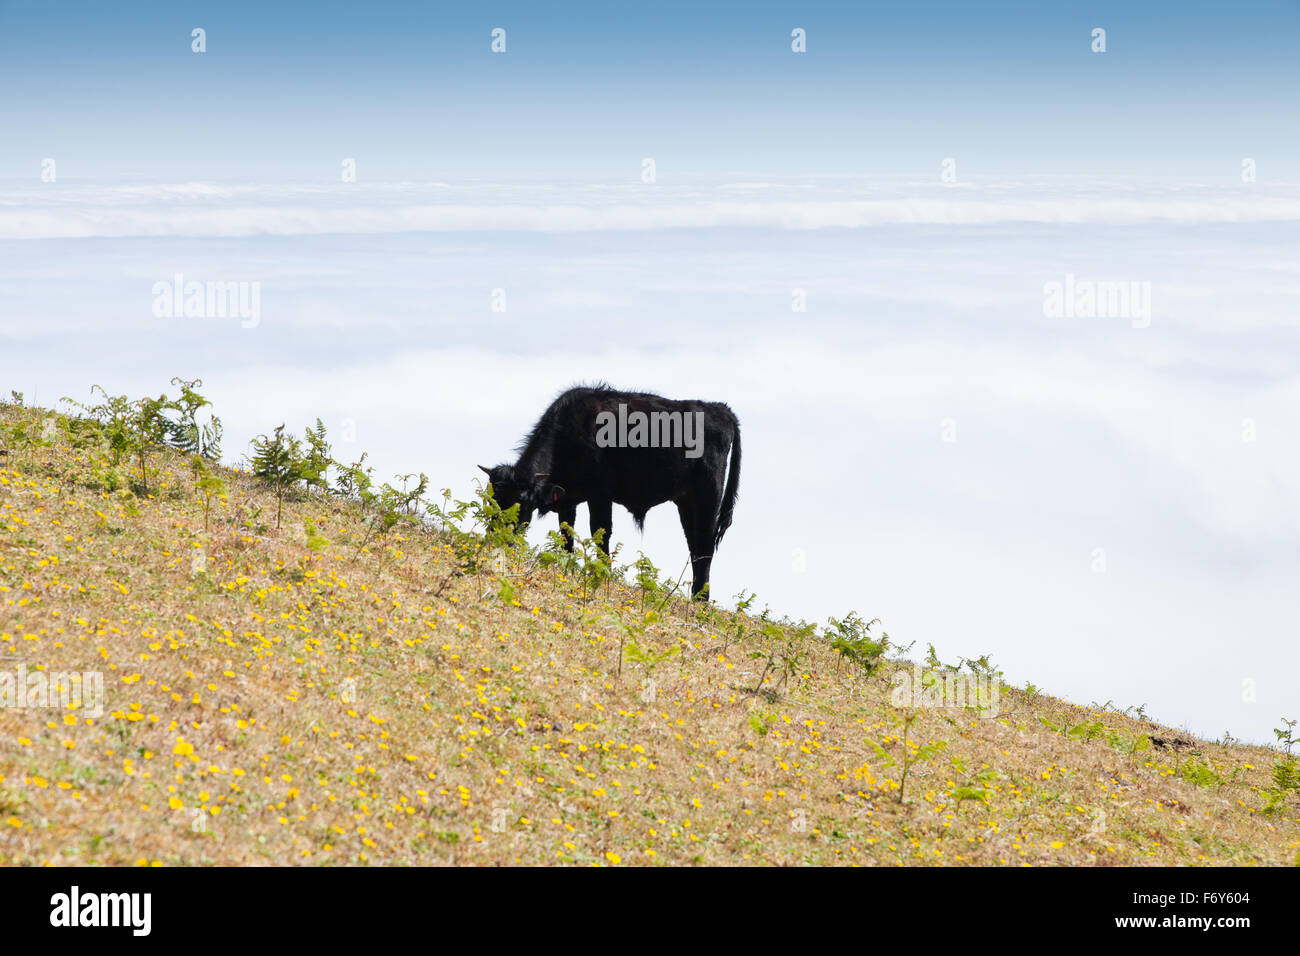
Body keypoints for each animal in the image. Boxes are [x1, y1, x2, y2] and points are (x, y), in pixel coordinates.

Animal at [479, 384, 741, 600]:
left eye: (522, 504)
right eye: (492, 499)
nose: (497, 537)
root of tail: (720, 409)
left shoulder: (600, 496)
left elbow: (601, 532)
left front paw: (603, 573)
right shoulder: (567, 501)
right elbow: (566, 535)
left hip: (708, 498)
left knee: (705, 546)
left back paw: (701, 599)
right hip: (686, 502)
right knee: (695, 547)